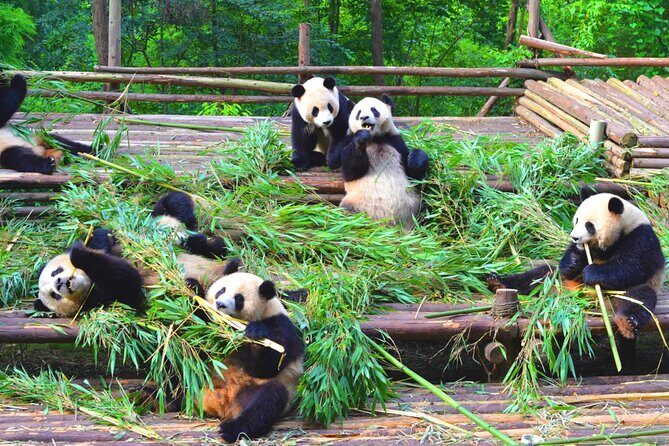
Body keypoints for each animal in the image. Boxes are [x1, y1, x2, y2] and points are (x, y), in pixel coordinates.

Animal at [35, 192, 231, 317]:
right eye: (54, 295)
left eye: (55, 272)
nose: (59, 282)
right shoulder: (109, 298)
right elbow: (128, 279)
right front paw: (81, 255)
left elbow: (103, 235)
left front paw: (80, 248)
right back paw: (194, 285)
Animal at [197, 262, 304, 443]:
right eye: (221, 290)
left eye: (239, 298)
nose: (220, 304)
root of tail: (223, 405)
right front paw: (191, 287)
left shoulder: (281, 327)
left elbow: (267, 366)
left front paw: (255, 333)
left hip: (260, 390)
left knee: (267, 401)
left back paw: (231, 430)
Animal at [337, 94, 429, 229]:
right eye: (358, 113)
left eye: (373, 110)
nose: (364, 117)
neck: (374, 139)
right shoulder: (347, 142)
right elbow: (350, 172)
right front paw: (361, 136)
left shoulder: (394, 142)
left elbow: (413, 174)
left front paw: (415, 160)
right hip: (356, 204)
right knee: (347, 215)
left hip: (414, 203)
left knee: (426, 209)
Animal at [487, 193, 666, 339]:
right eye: (576, 220)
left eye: (589, 225)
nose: (574, 237)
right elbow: (570, 256)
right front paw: (572, 262)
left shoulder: (640, 237)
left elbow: (632, 266)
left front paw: (591, 273)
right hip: (555, 281)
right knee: (538, 275)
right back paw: (497, 282)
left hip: (626, 292)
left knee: (638, 298)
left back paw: (627, 323)